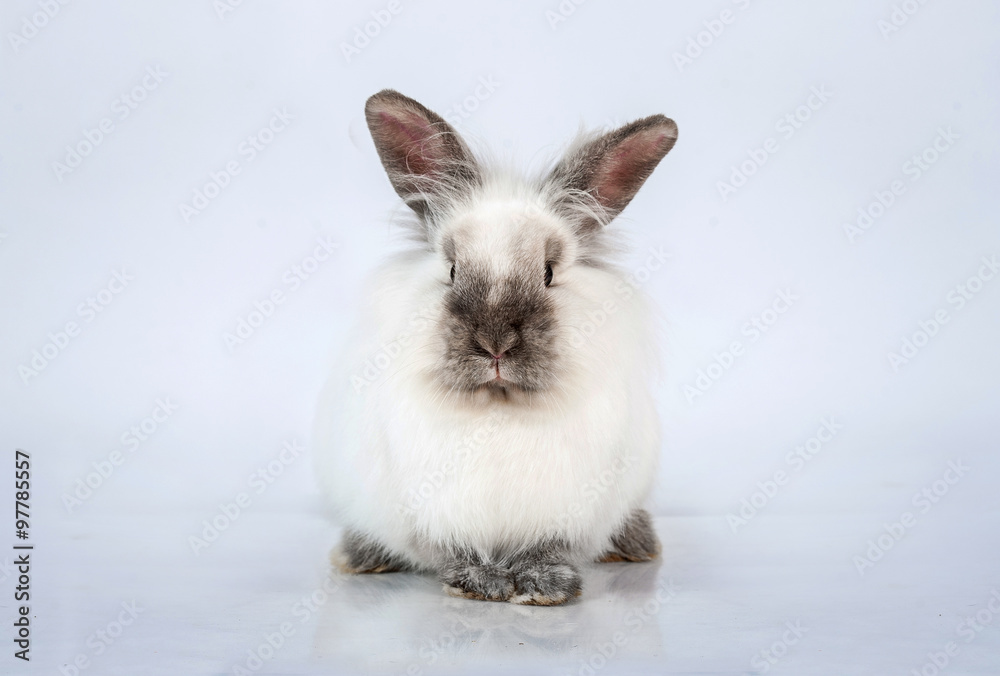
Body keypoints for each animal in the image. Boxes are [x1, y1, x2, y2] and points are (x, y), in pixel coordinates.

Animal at [313, 89, 677, 606]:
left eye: (548, 272)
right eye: (451, 270)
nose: (496, 344)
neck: (498, 408)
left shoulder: (568, 507)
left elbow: (546, 546)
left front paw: (543, 586)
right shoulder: (434, 509)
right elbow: (454, 548)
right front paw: (479, 584)